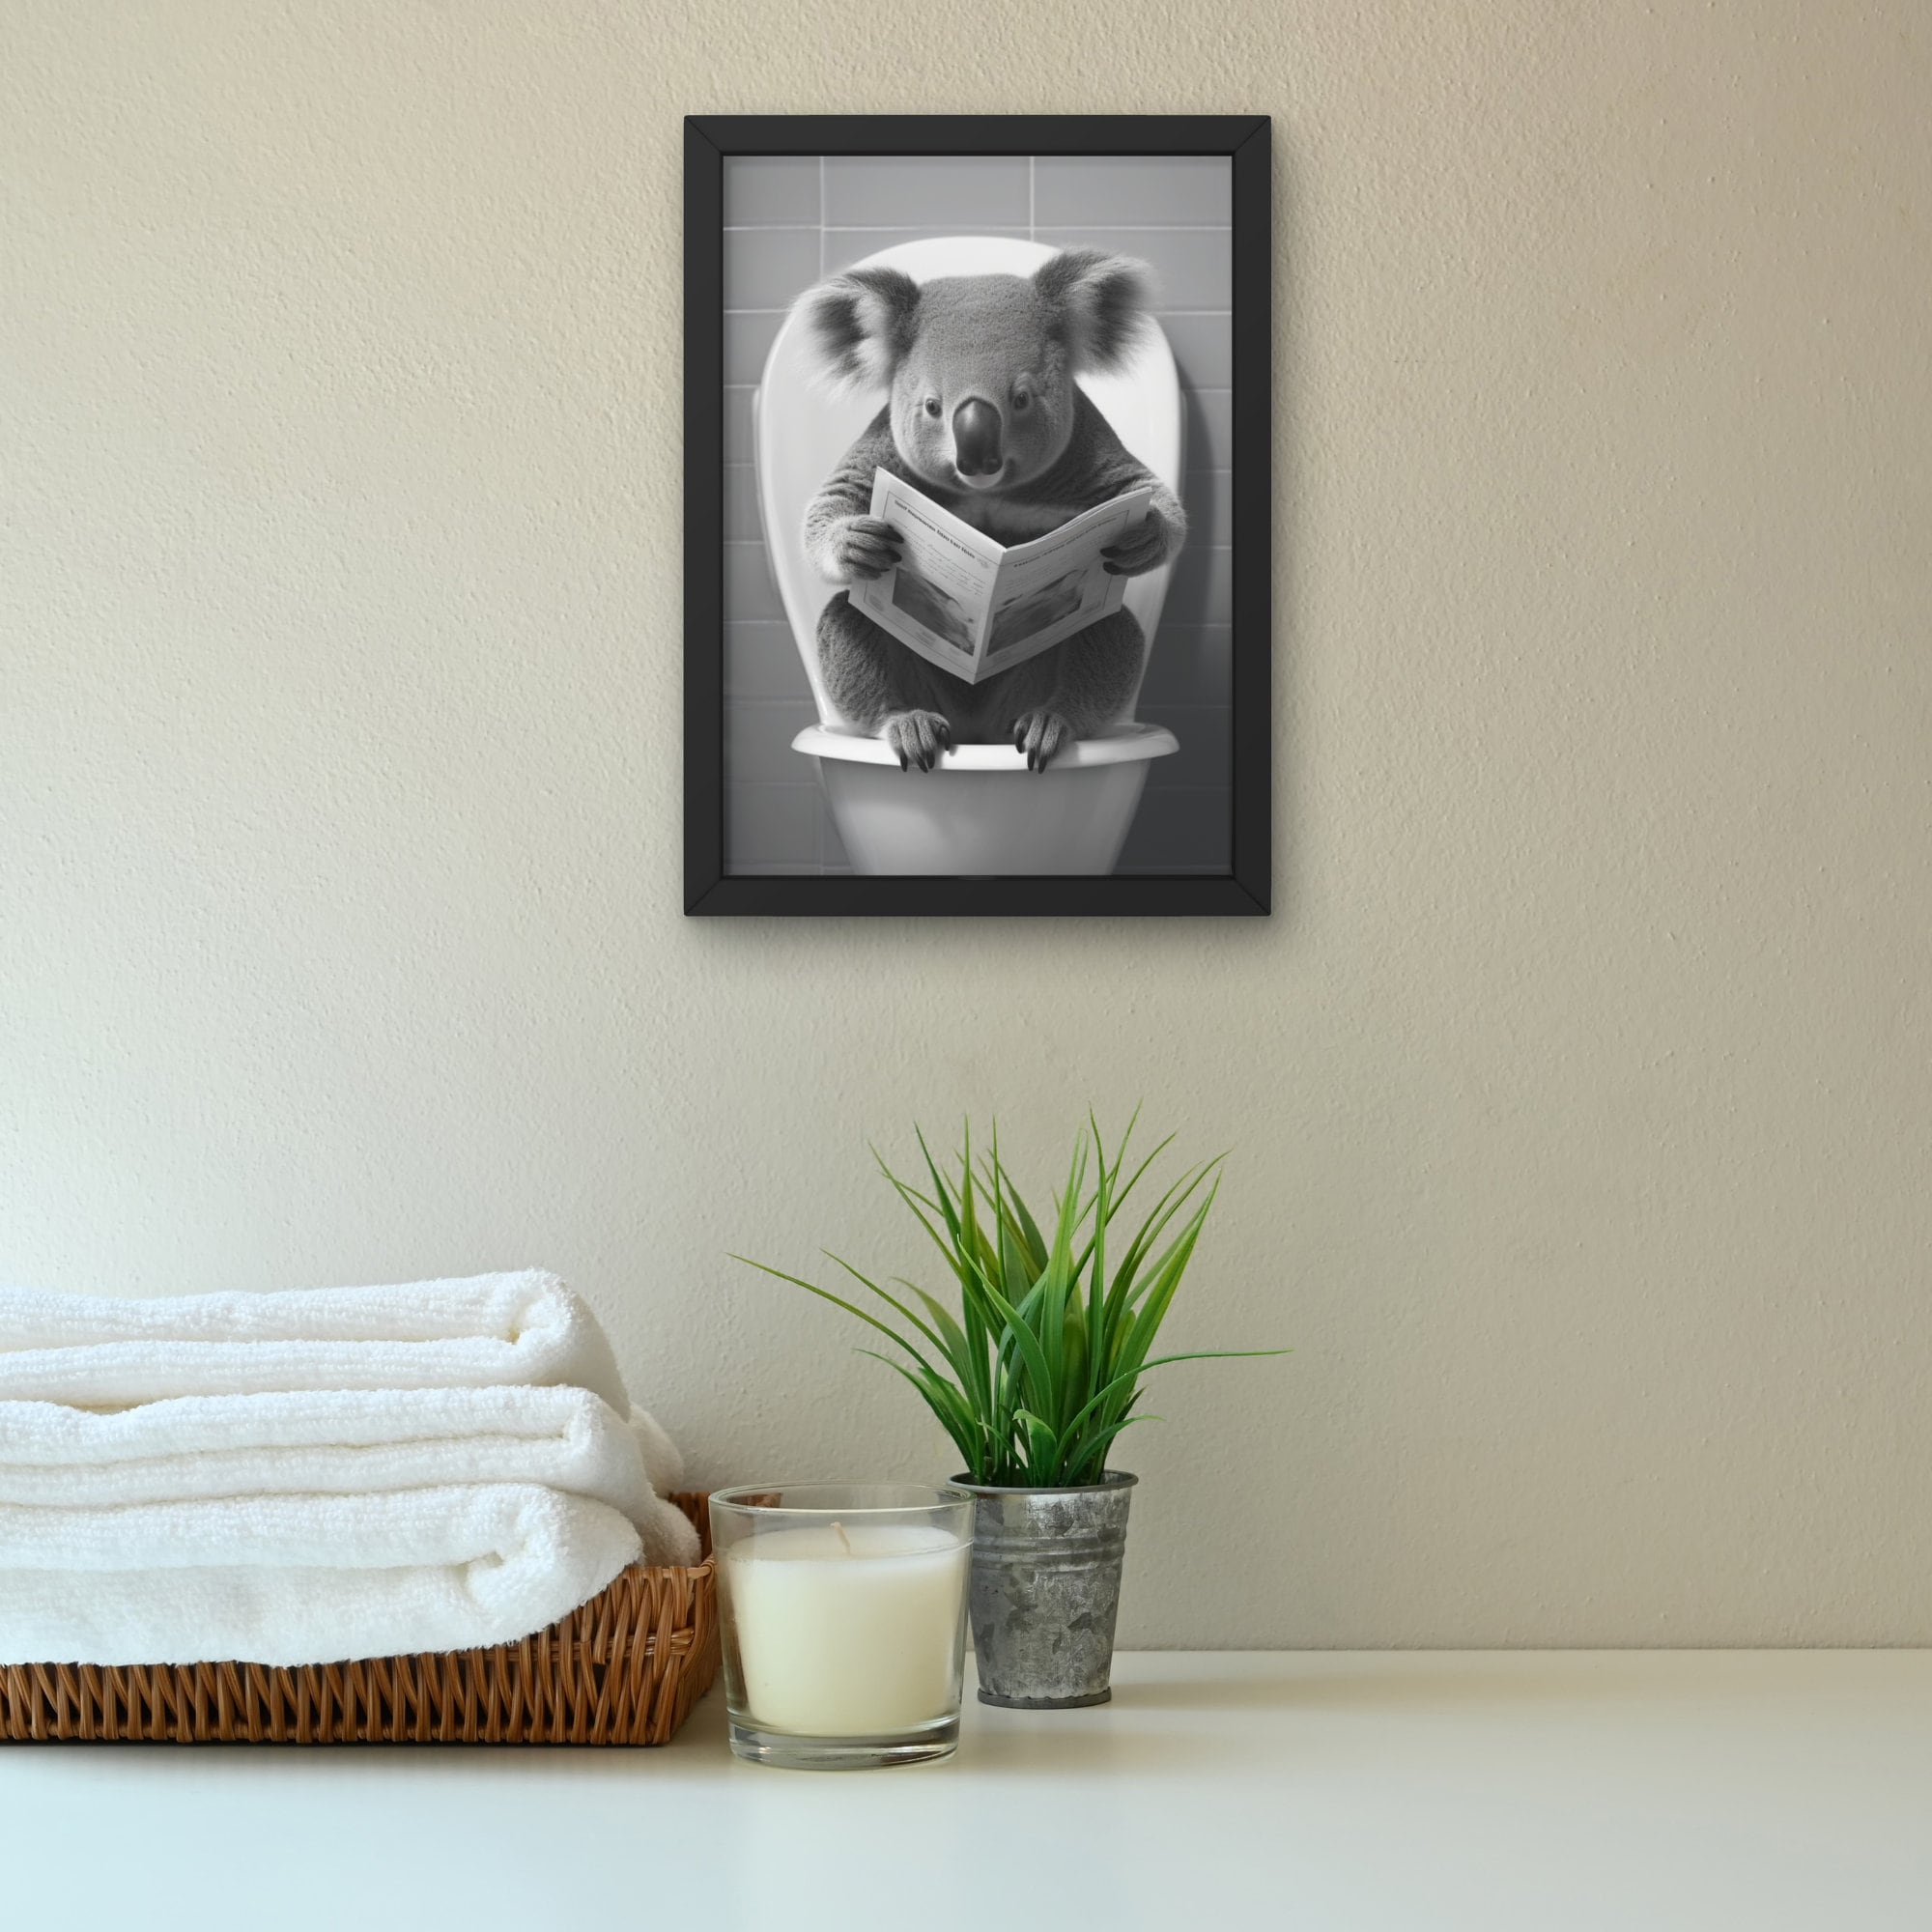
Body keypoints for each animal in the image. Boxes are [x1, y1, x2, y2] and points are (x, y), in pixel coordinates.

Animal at [793, 248, 1187, 772]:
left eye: (1022, 398)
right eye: (932, 406)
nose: (977, 456)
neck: (986, 490)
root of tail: (975, 731)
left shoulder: (1087, 451)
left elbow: (1148, 493)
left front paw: (1139, 536)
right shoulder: (883, 453)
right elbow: (832, 504)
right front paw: (856, 543)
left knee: (1108, 631)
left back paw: (1047, 725)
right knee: (848, 621)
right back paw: (908, 726)